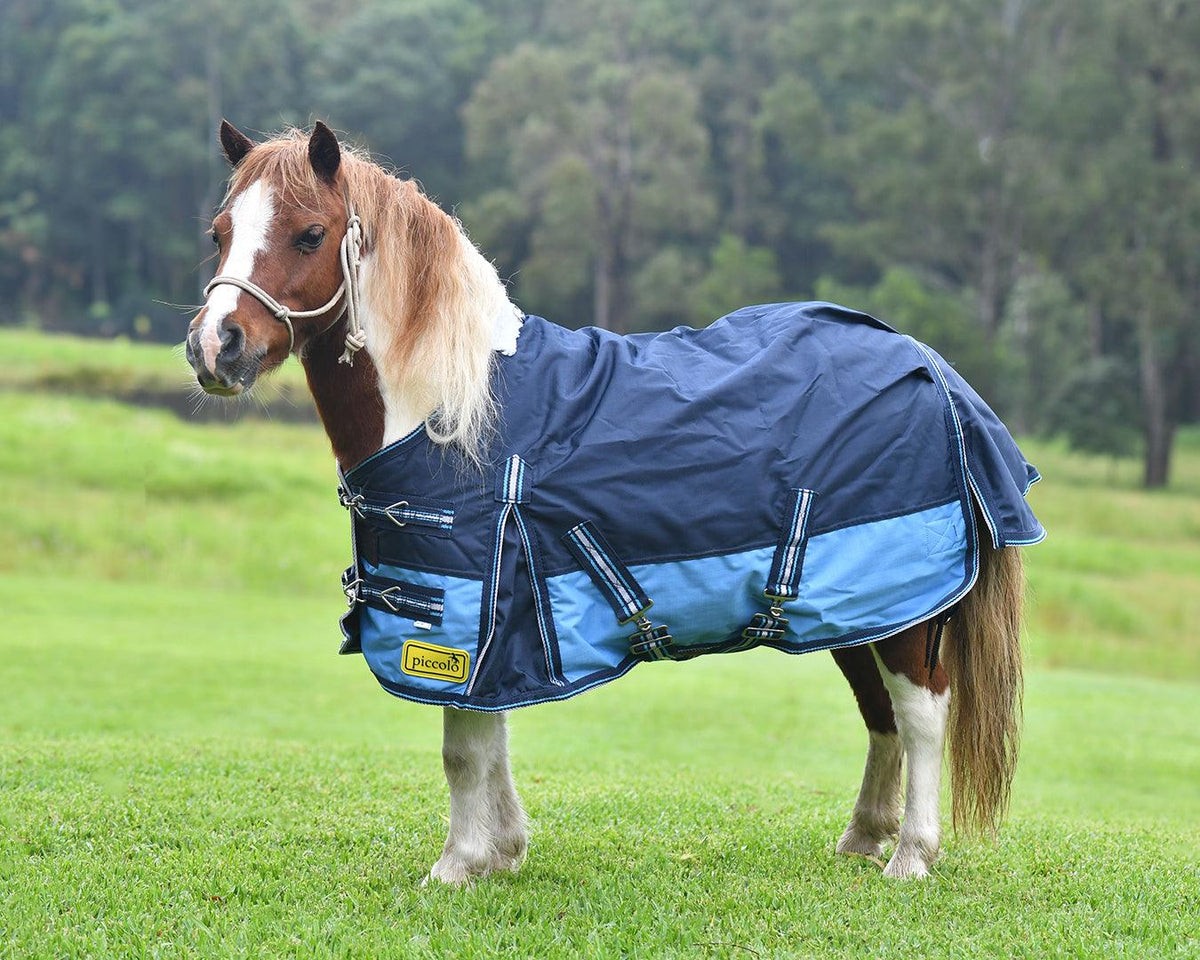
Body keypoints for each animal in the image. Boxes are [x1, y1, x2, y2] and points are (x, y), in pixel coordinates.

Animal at [186, 120, 1038, 882]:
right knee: (880, 714)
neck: (455, 413)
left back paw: (911, 856)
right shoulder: (496, 626)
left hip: (905, 612)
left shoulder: (464, 617)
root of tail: (932, 368)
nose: (215, 346)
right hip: (857, 609)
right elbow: (491, 735)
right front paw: (503, 852)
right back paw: (862, 839)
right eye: (221, 231)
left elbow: (462, 748)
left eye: (310, 233)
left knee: (922, 715)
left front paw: (458, 864)